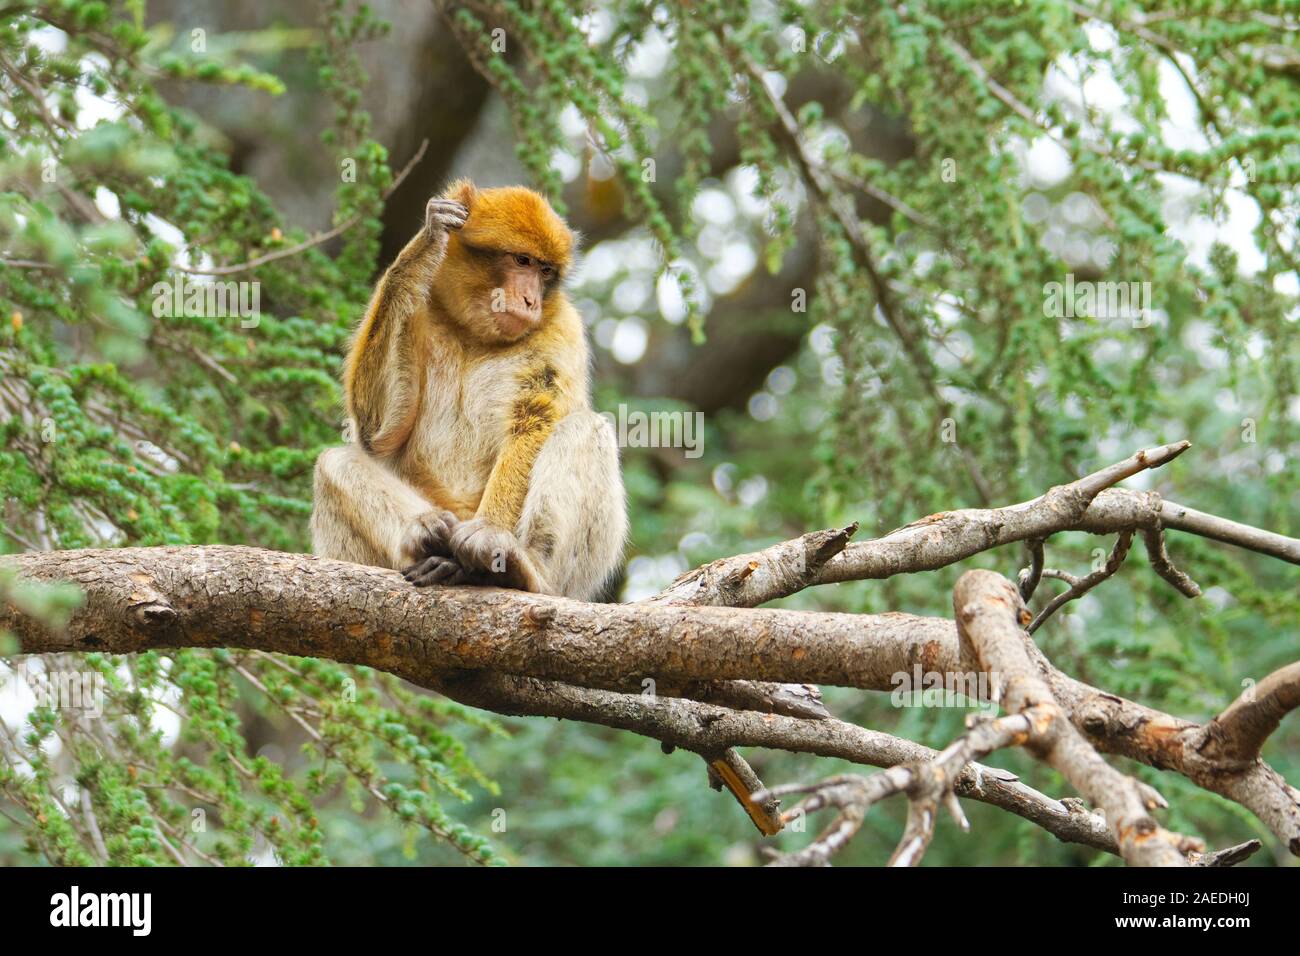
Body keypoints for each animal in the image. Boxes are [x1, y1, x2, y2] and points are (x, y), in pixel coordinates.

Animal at [310, 179, 627, 601]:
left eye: (544, 270)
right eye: (521, 262)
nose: (530, 300)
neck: (474, 335)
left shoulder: (562, 327)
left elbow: (534, 422)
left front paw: (490, 538)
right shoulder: (423, 309)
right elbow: (378, 433)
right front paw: (423, 246)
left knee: (585, 429)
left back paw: (521, 568)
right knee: (335, 462)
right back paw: (425, 533)